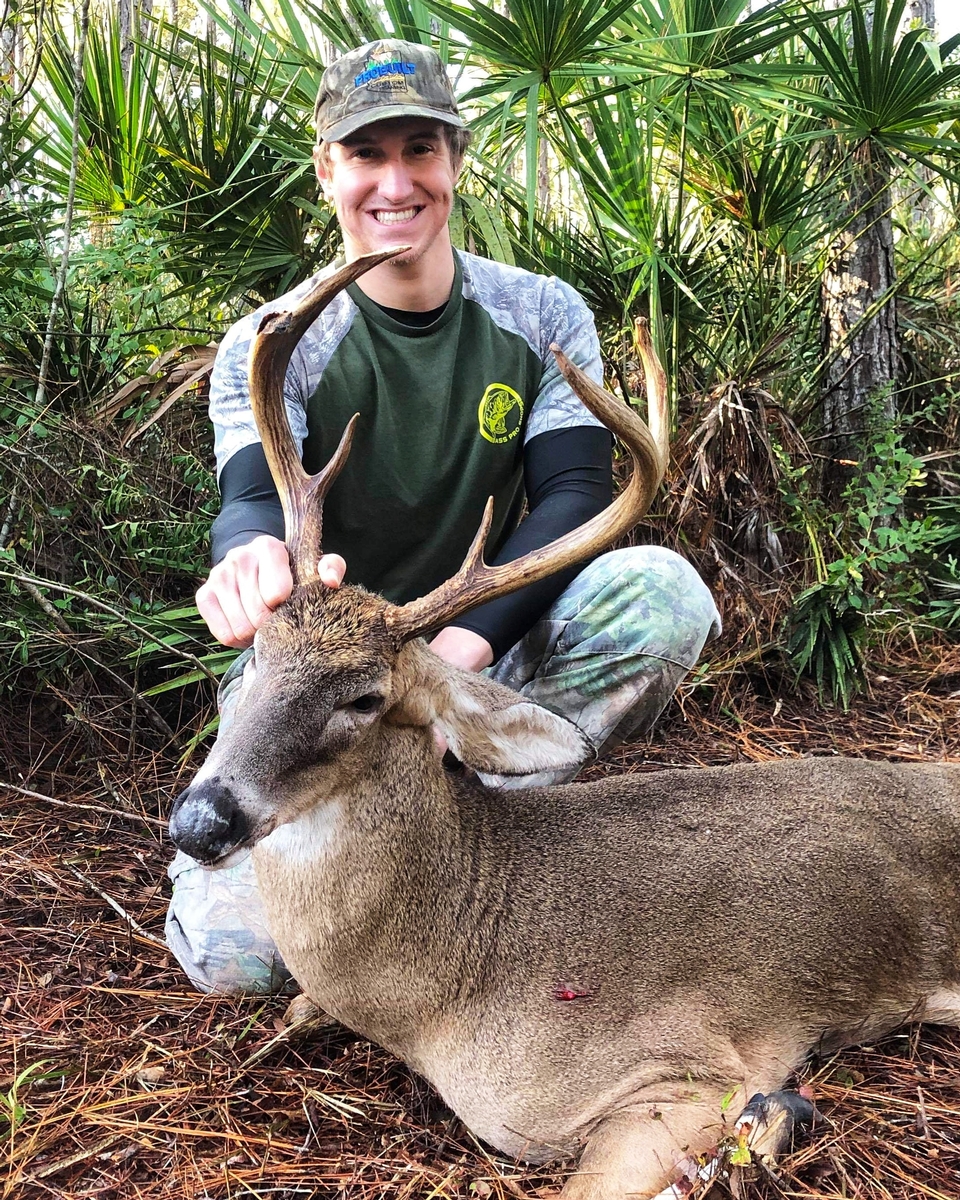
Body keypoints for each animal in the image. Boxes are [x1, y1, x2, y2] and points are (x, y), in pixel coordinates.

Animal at [169, 249, 960, 1200]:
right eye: (254, 654)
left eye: (363, 697)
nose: (200, 819)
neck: (431, 991)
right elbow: (293, 1005)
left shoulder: (673, 1070)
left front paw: (773, 1121)